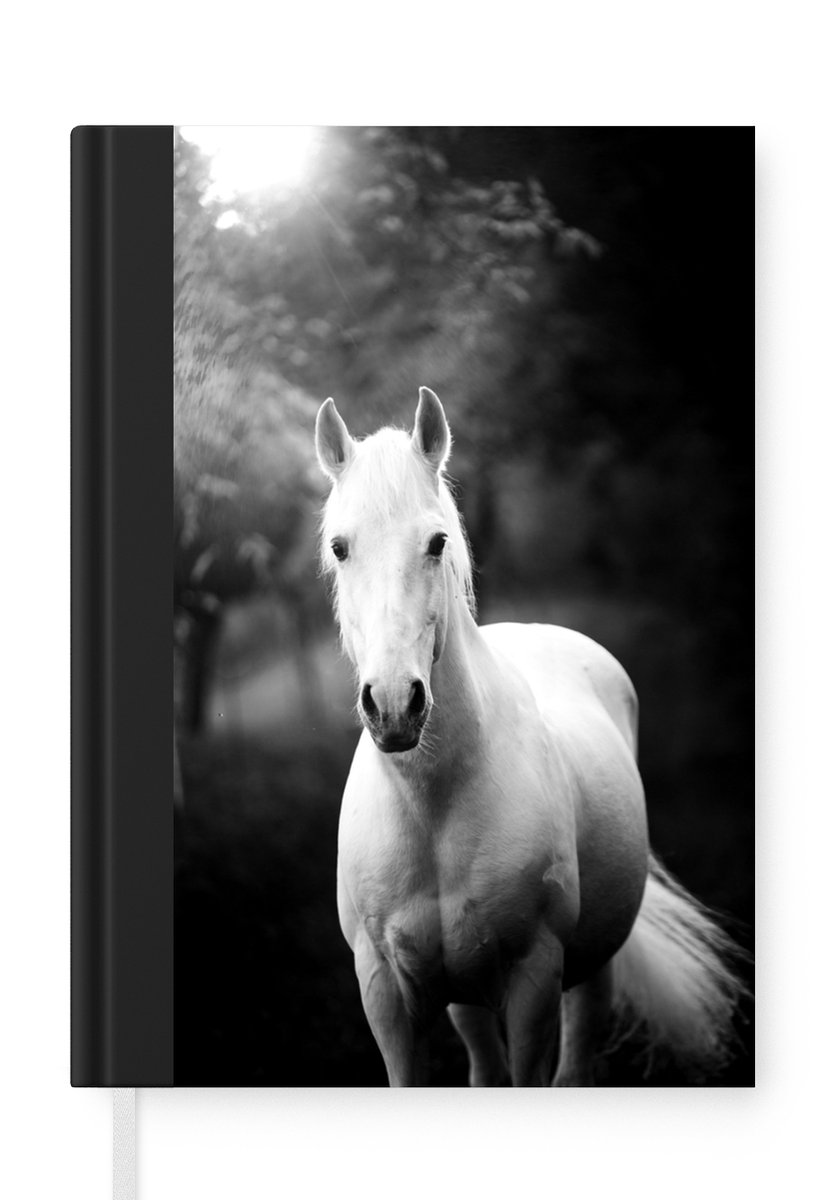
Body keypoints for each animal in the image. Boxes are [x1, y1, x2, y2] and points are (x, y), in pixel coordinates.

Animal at [314, 386, 747, 1087]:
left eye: (437, 542)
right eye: (340, 547)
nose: (394, 705)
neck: (433, 807)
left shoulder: (534, 980)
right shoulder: (384, 993)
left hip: (590, 972)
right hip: (464, 994)